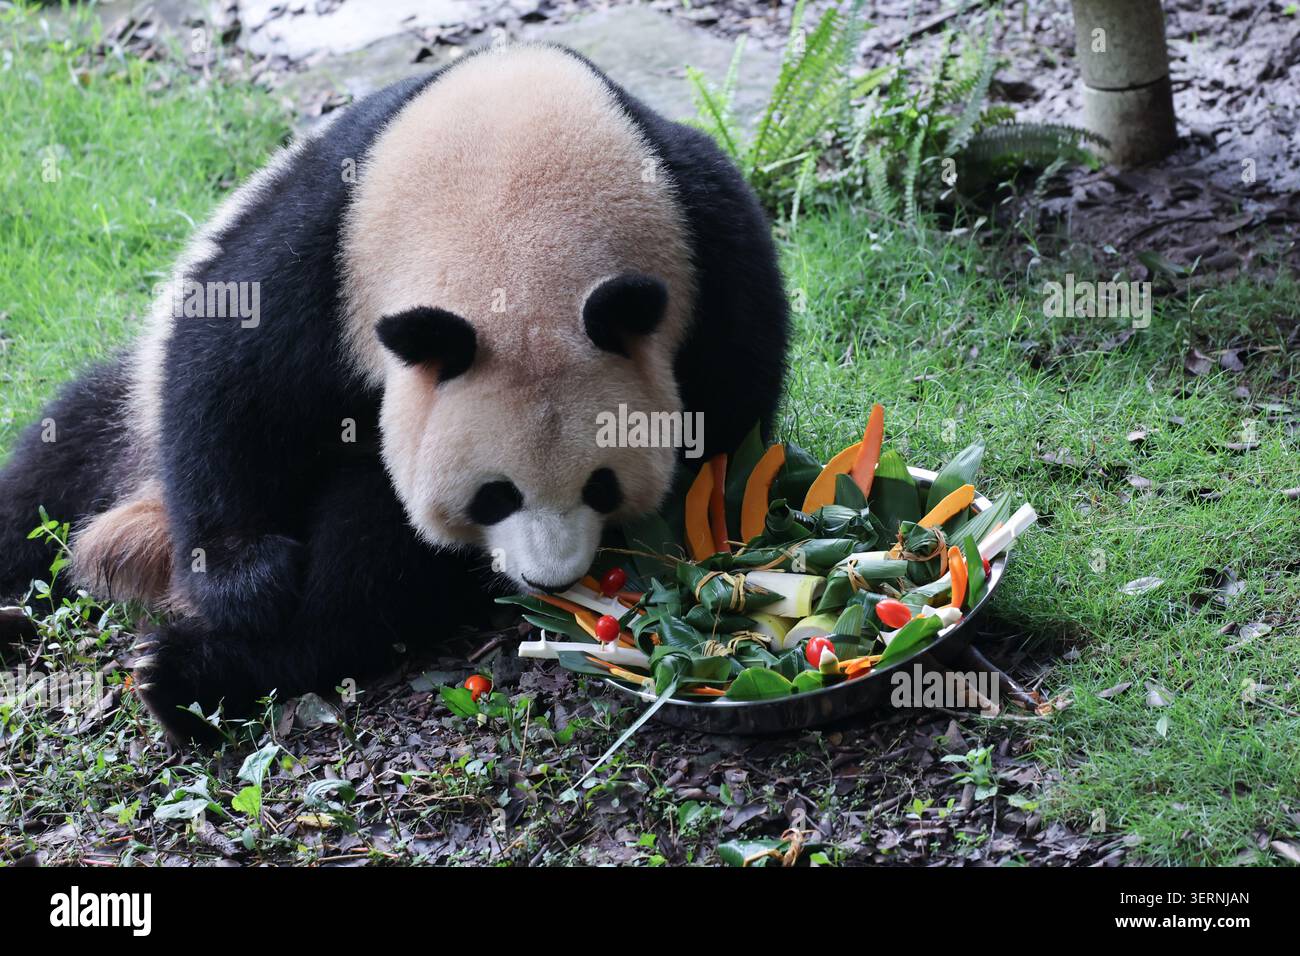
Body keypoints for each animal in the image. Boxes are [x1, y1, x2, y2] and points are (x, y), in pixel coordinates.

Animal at [0, 44, 789, 741]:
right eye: (494, 496)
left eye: (601, 485)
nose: (552, 577)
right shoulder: (334, 245)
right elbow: (230, 376)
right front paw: (247, 581)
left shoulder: (701, 246)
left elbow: (730, 410)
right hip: (126, 410)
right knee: (52, 467)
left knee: (365, 565)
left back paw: (194, 676)